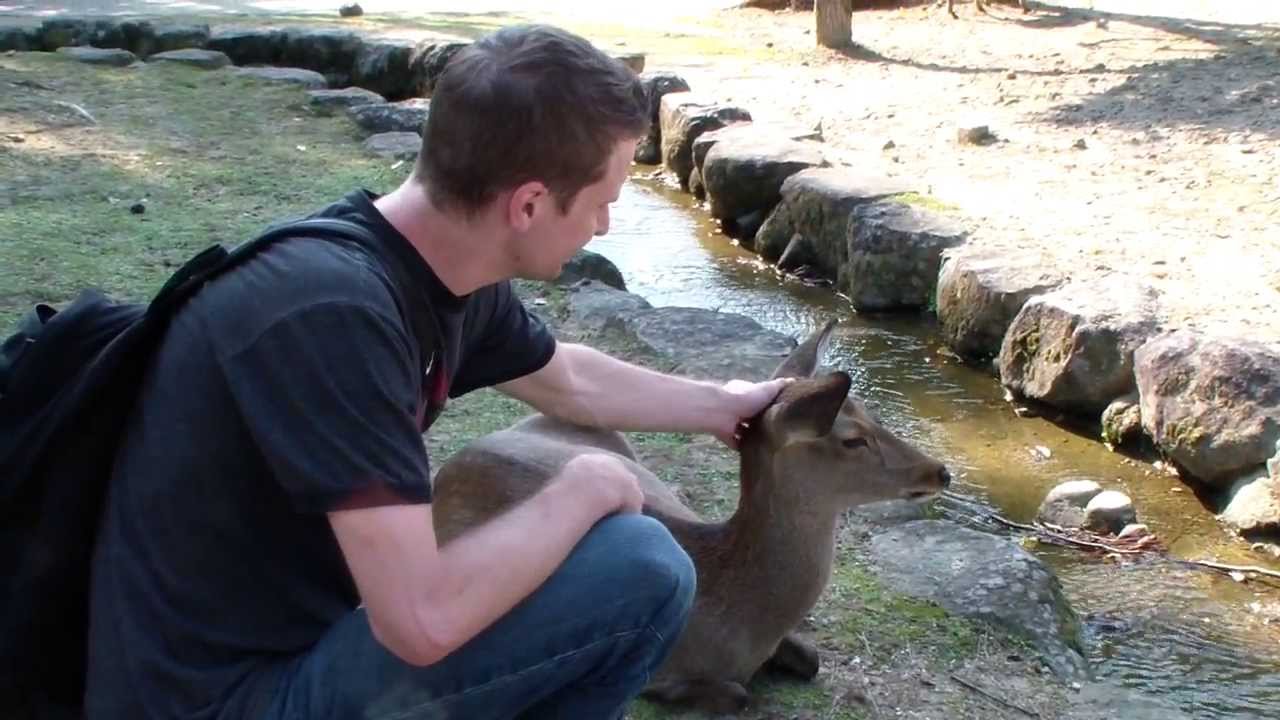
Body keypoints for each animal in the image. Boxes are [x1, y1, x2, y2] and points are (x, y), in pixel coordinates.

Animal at [430, 319, 952, 714]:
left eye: (872, 413)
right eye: (852, 438)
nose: (941, 470)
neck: (744, 624)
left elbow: (812, 657)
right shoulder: (662, 671)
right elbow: (739, 695)